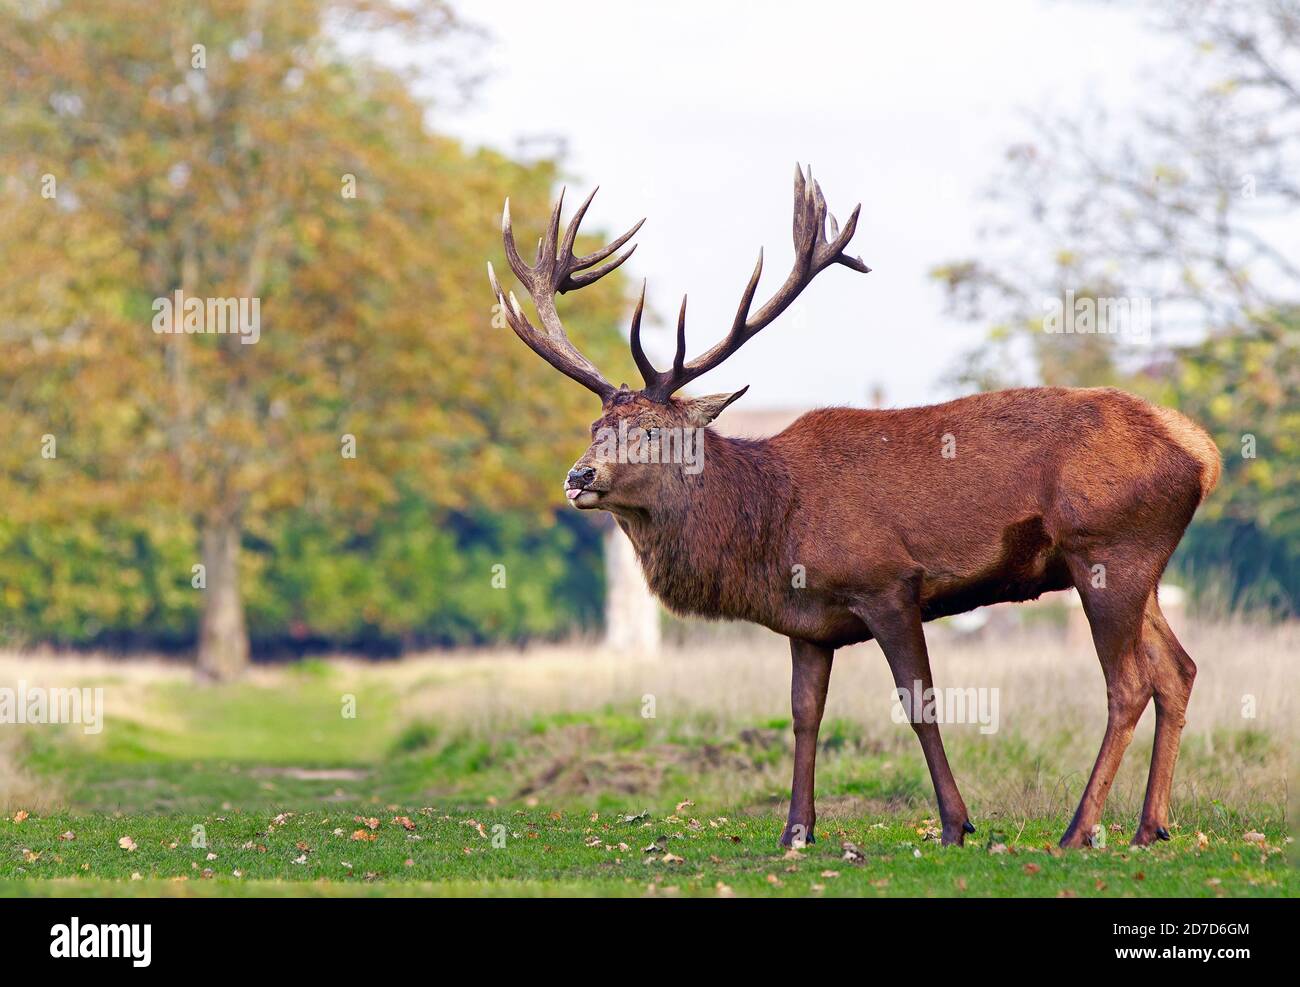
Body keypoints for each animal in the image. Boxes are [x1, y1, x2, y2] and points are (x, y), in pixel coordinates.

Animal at [486, 165, 1221, 850]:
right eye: (594, 427)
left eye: (649, 432)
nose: (578, 476)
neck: (772, 523)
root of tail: (1203, 451)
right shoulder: (809, 624)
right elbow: (804, 714)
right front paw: (796, 830)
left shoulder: (887, 582)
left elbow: (919, 703)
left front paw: (955, 823)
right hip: (1137, 567)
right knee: (1177, 670)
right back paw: (1149, 827)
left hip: (1105, 550)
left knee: (1128, 683)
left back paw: (1079, 830)